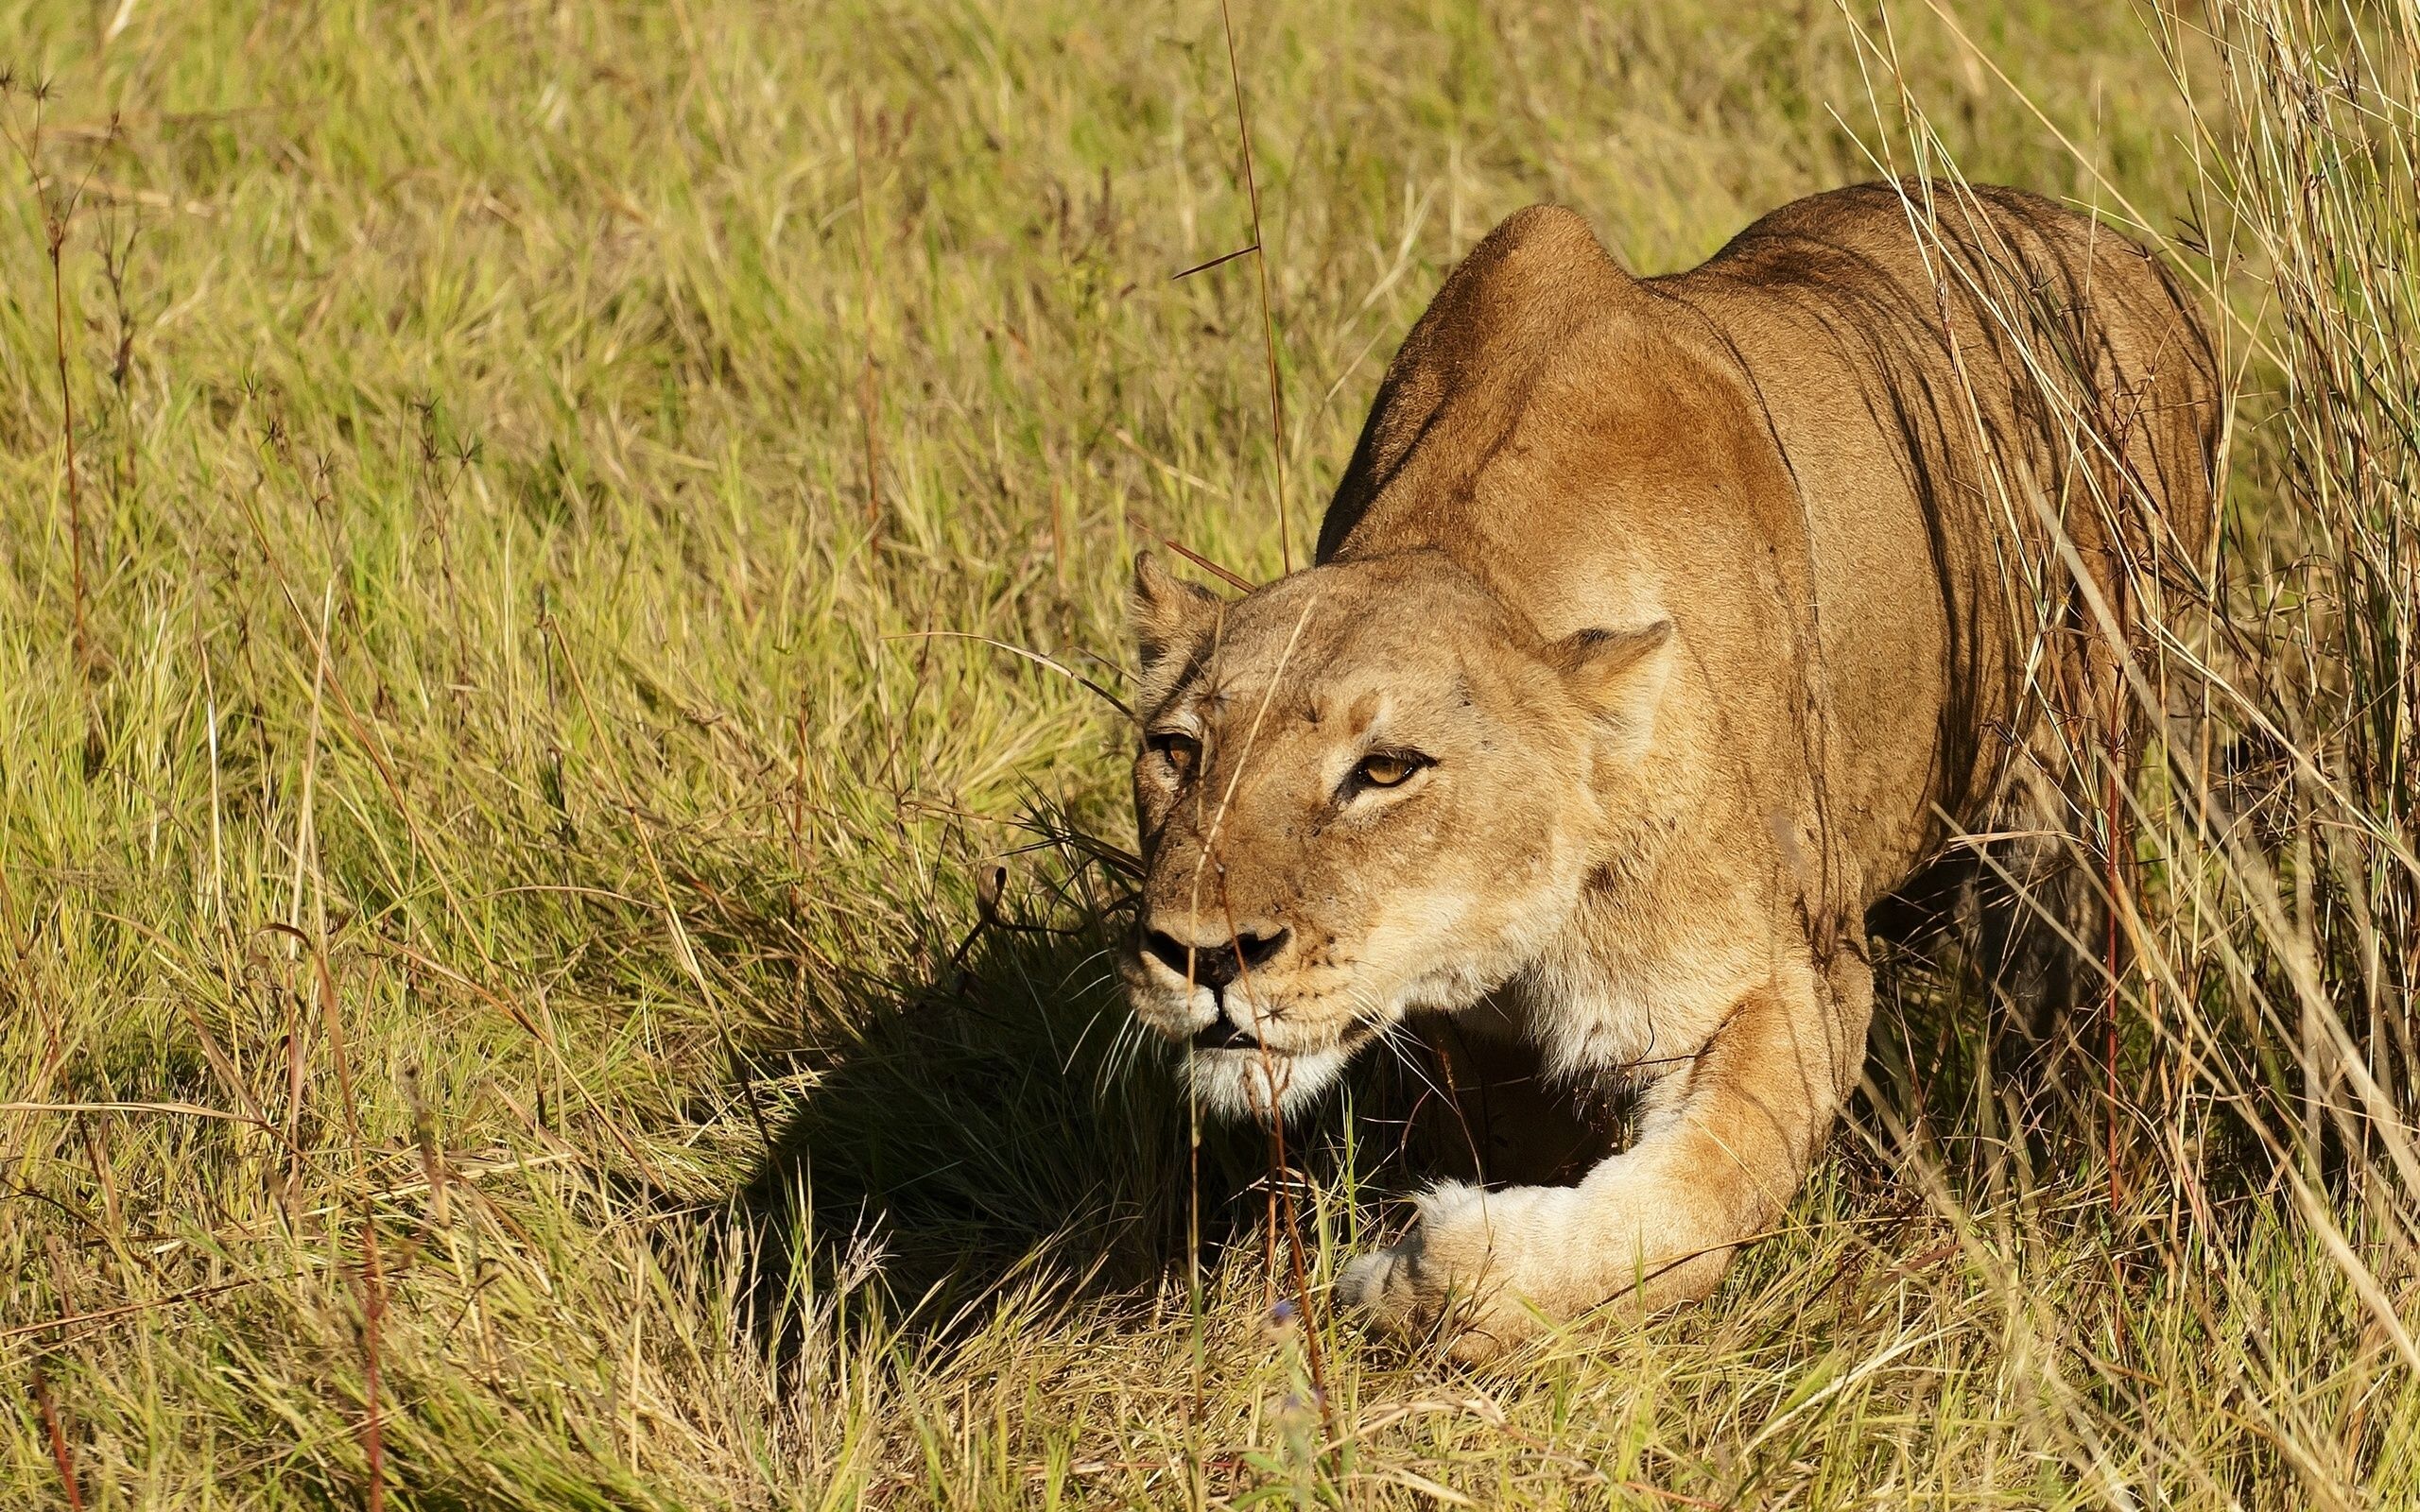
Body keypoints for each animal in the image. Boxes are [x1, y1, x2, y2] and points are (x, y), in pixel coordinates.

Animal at [1116, 180, 2218, 1357]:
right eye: (1176, 751)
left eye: (1383, 771)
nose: (1201, 955)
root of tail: (2124, 251)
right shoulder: (1483, 1044)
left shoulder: (1793, 978)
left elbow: (1692, 1200)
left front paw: (1422, 1276)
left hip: (2071, 792)